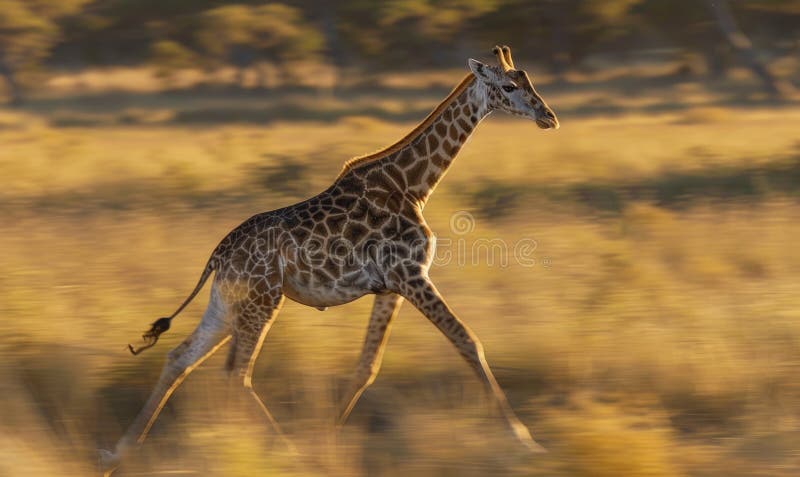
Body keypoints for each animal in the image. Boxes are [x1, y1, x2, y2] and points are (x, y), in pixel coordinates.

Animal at [100, 45, 558, 474]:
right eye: (509, 87)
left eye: (528, 81)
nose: (549, 118)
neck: (413, 185)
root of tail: (216, 255)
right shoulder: (410, 275)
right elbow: (468, 341)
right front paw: (524, 441)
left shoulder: (392, 287)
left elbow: (366, 367)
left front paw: (329, 436)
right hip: (263, 301)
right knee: (236, 372)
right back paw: (286, 453)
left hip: (228, 303)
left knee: (180, 357)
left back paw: (119, 454)